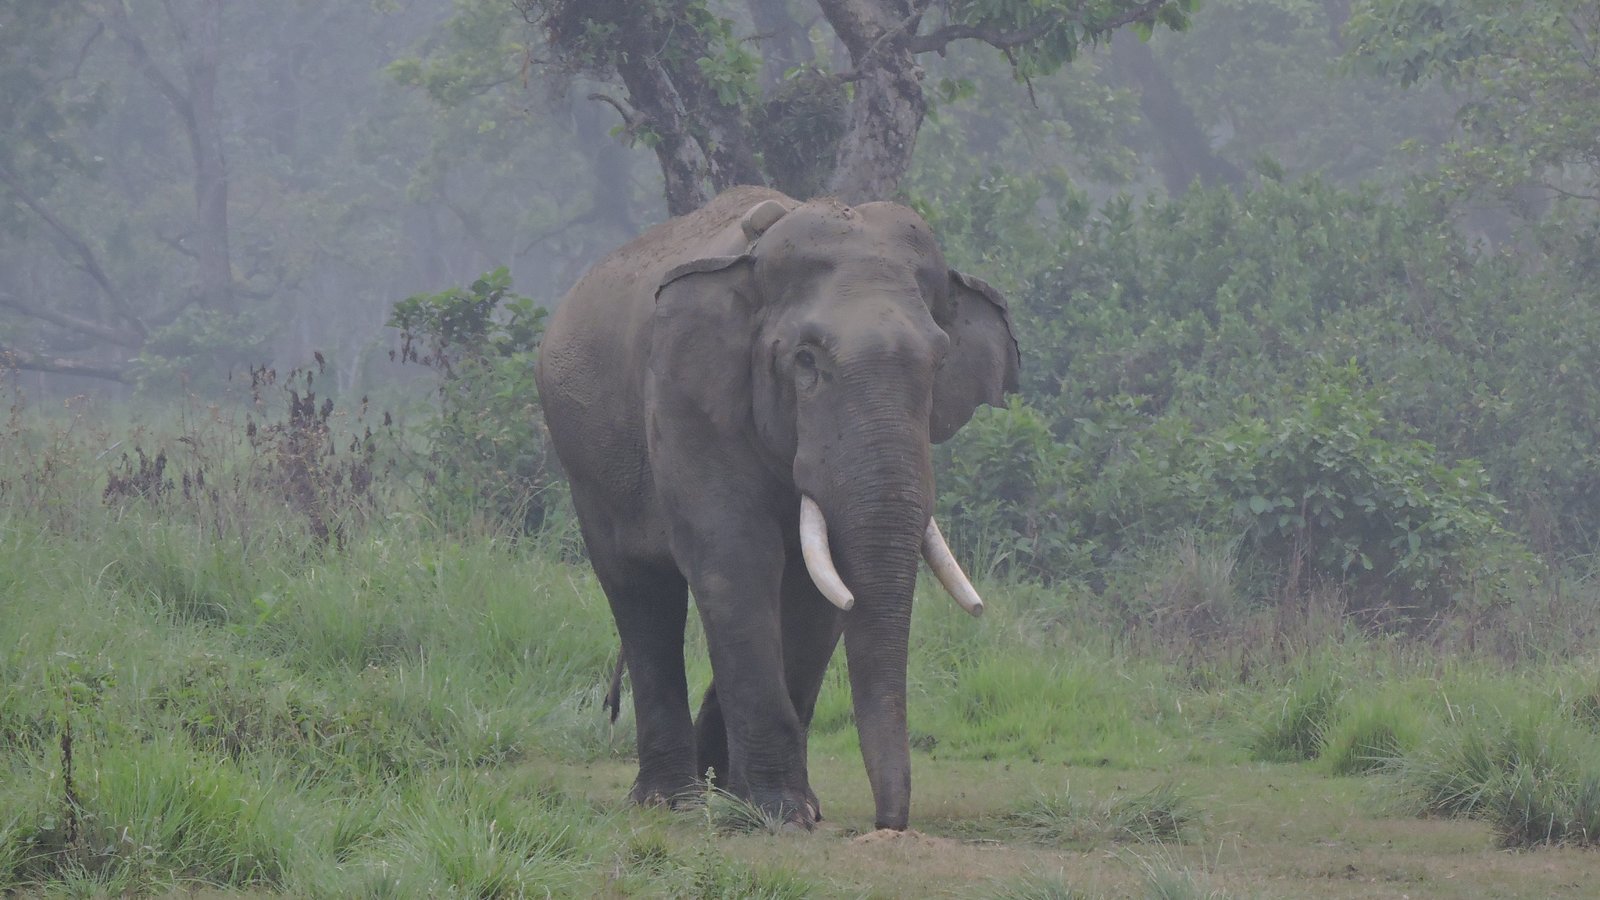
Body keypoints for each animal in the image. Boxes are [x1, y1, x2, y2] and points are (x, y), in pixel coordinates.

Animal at [535, 185, 1018, 831]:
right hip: (586, 463)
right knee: (639, 593)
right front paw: (783, 814)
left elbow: (823, 592)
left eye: (939, 363)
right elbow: (735, 560)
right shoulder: (687, 399)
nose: (888, 825)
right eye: (806, 361)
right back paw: (670, 800)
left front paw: (774, 803)